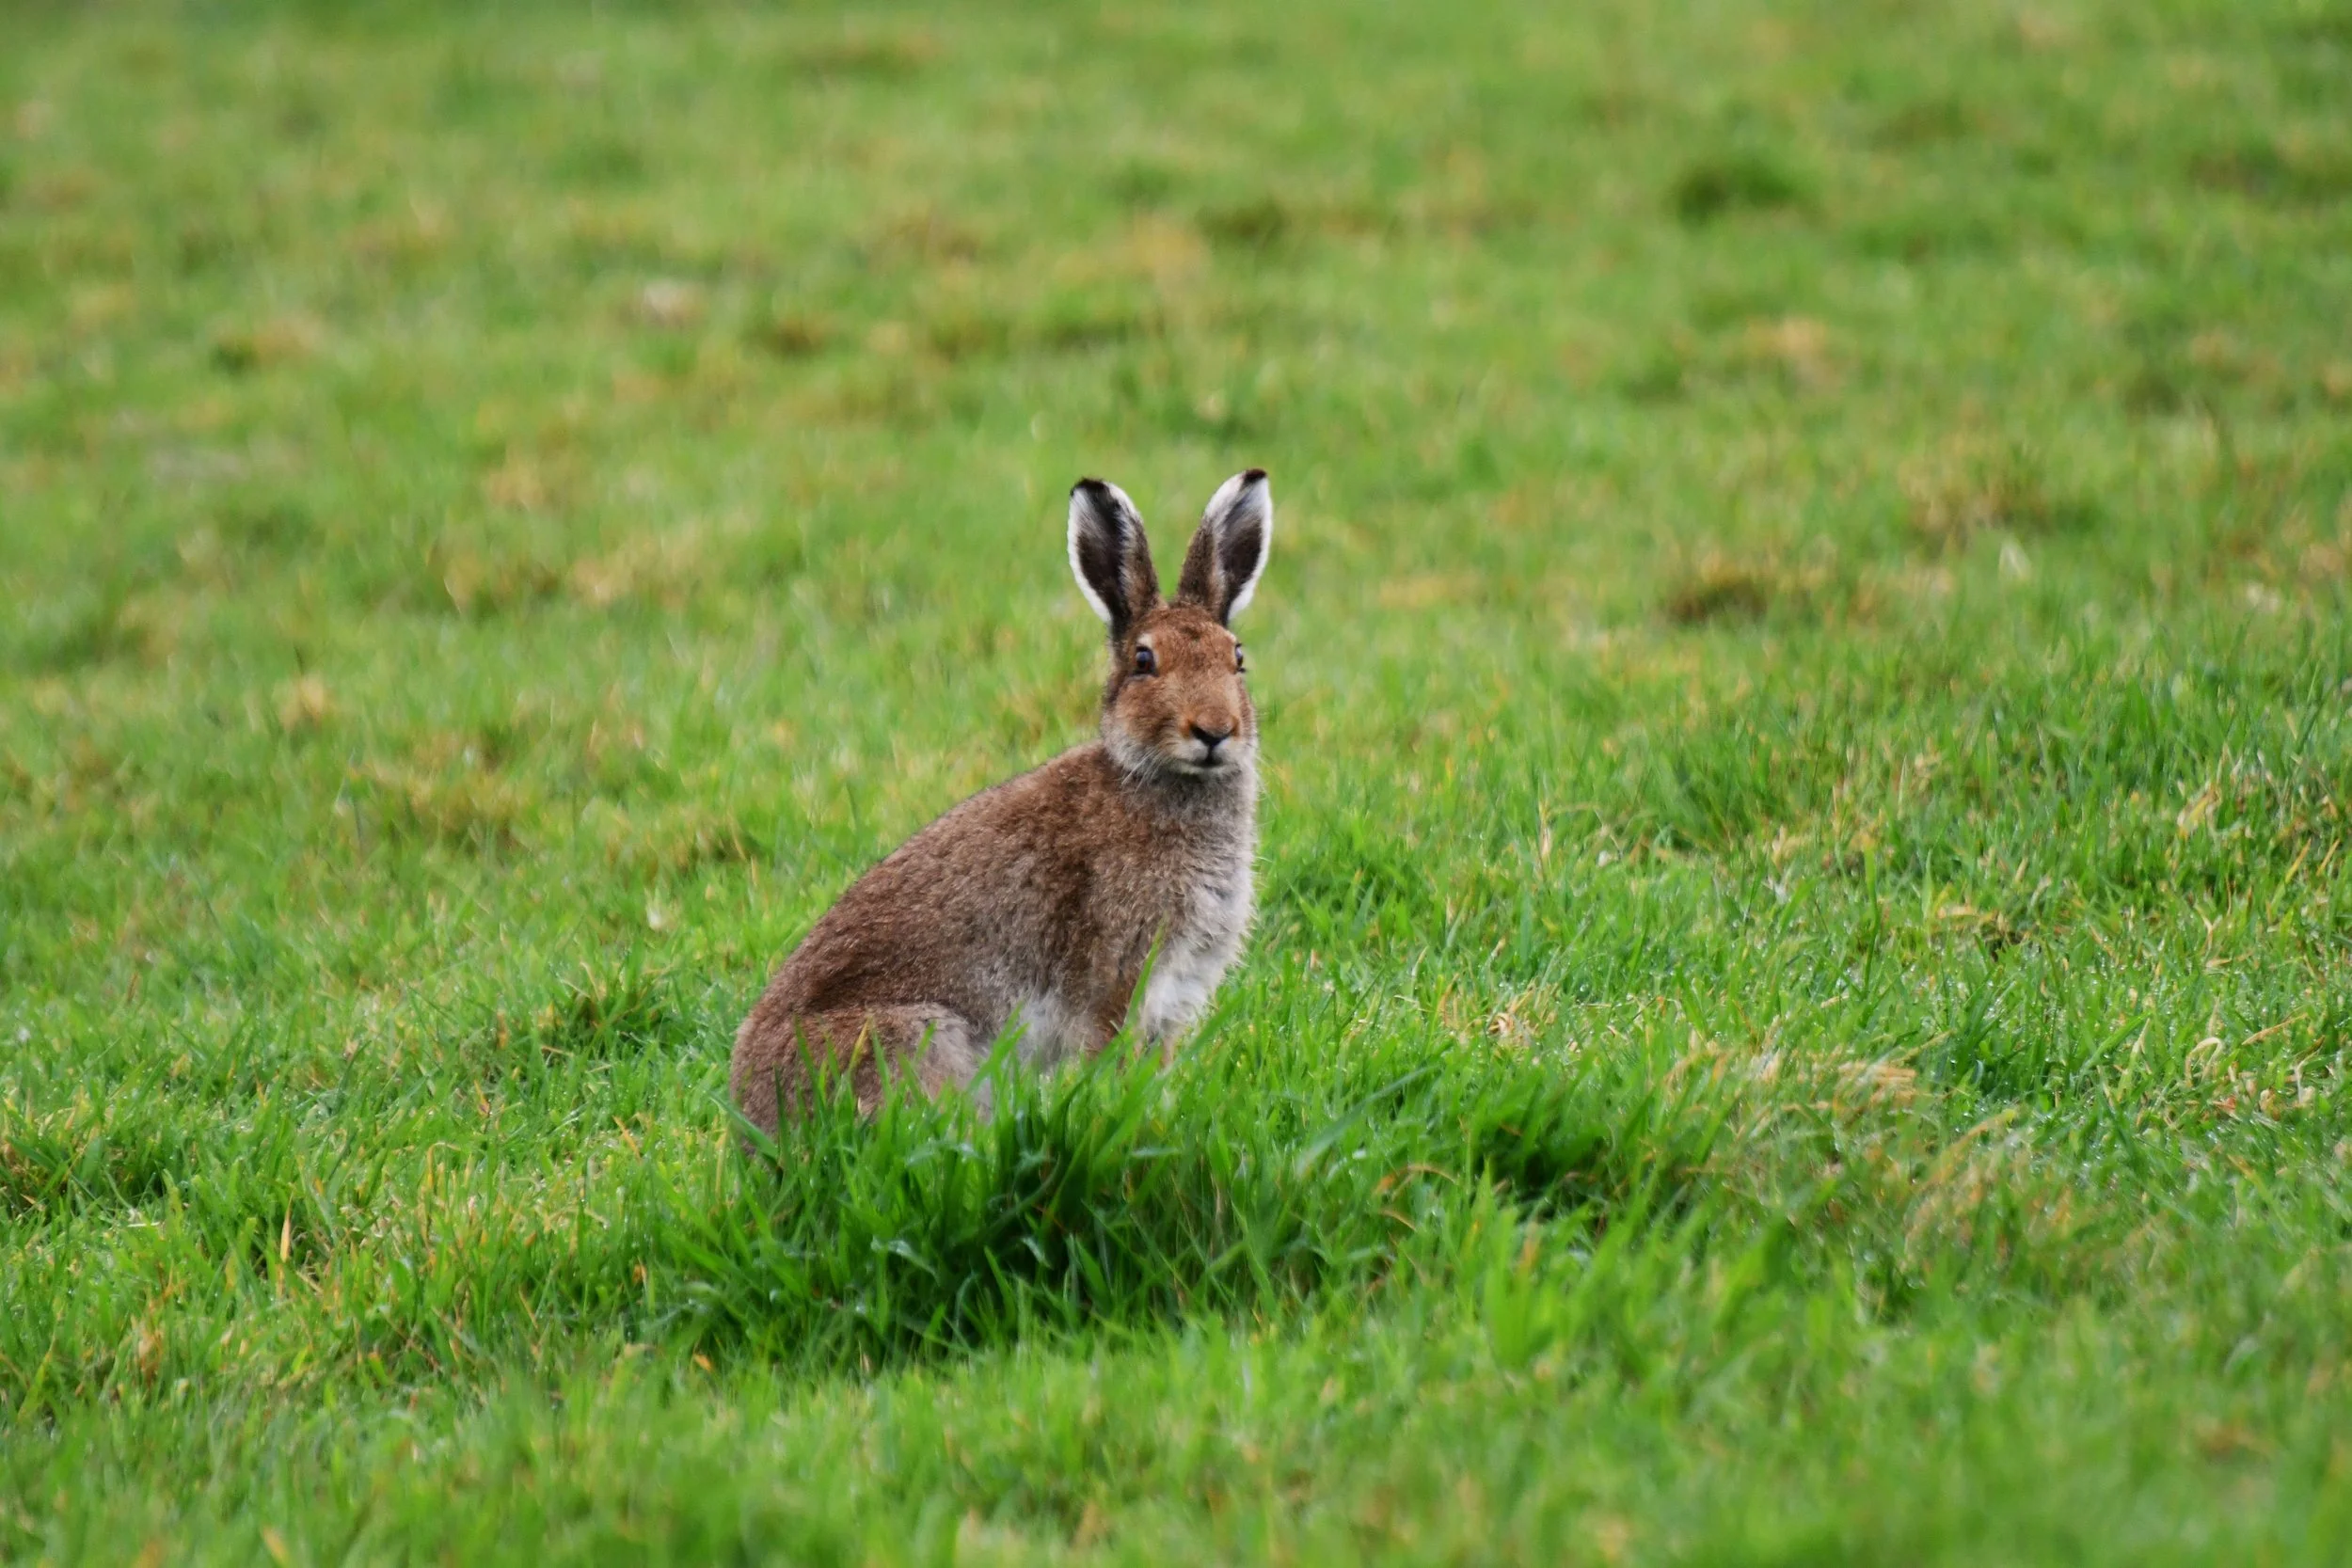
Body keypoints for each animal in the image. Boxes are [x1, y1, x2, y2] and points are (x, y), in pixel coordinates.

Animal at [730, 469, 1275, 1136]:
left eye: (1237, 658)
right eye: (1145, 661)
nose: (1216, 730)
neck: (1159, 781)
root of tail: (752, 1125)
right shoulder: (1117, 977)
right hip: (915, 1037)